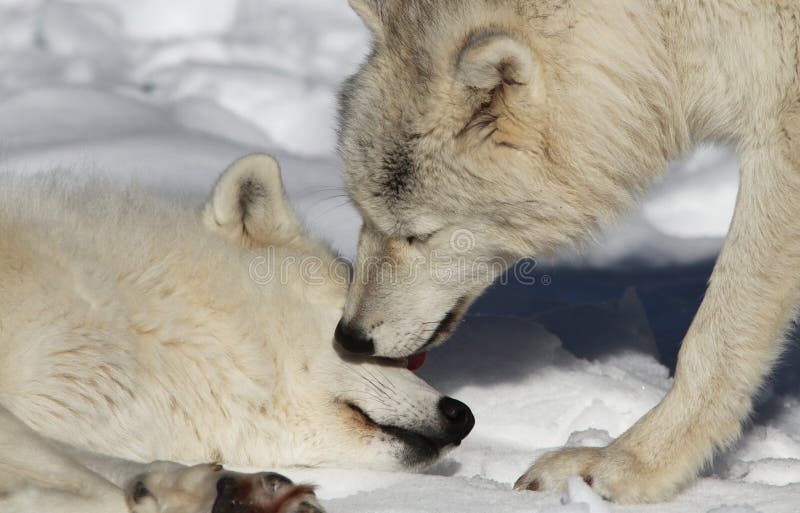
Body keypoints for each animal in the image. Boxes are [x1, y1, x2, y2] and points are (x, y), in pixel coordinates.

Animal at [334, 0, 800, 503]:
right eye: (363, 214)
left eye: (417, 234)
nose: (348, 338)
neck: (670, 24)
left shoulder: (782, 138)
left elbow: (712, 342)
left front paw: (624, 467)